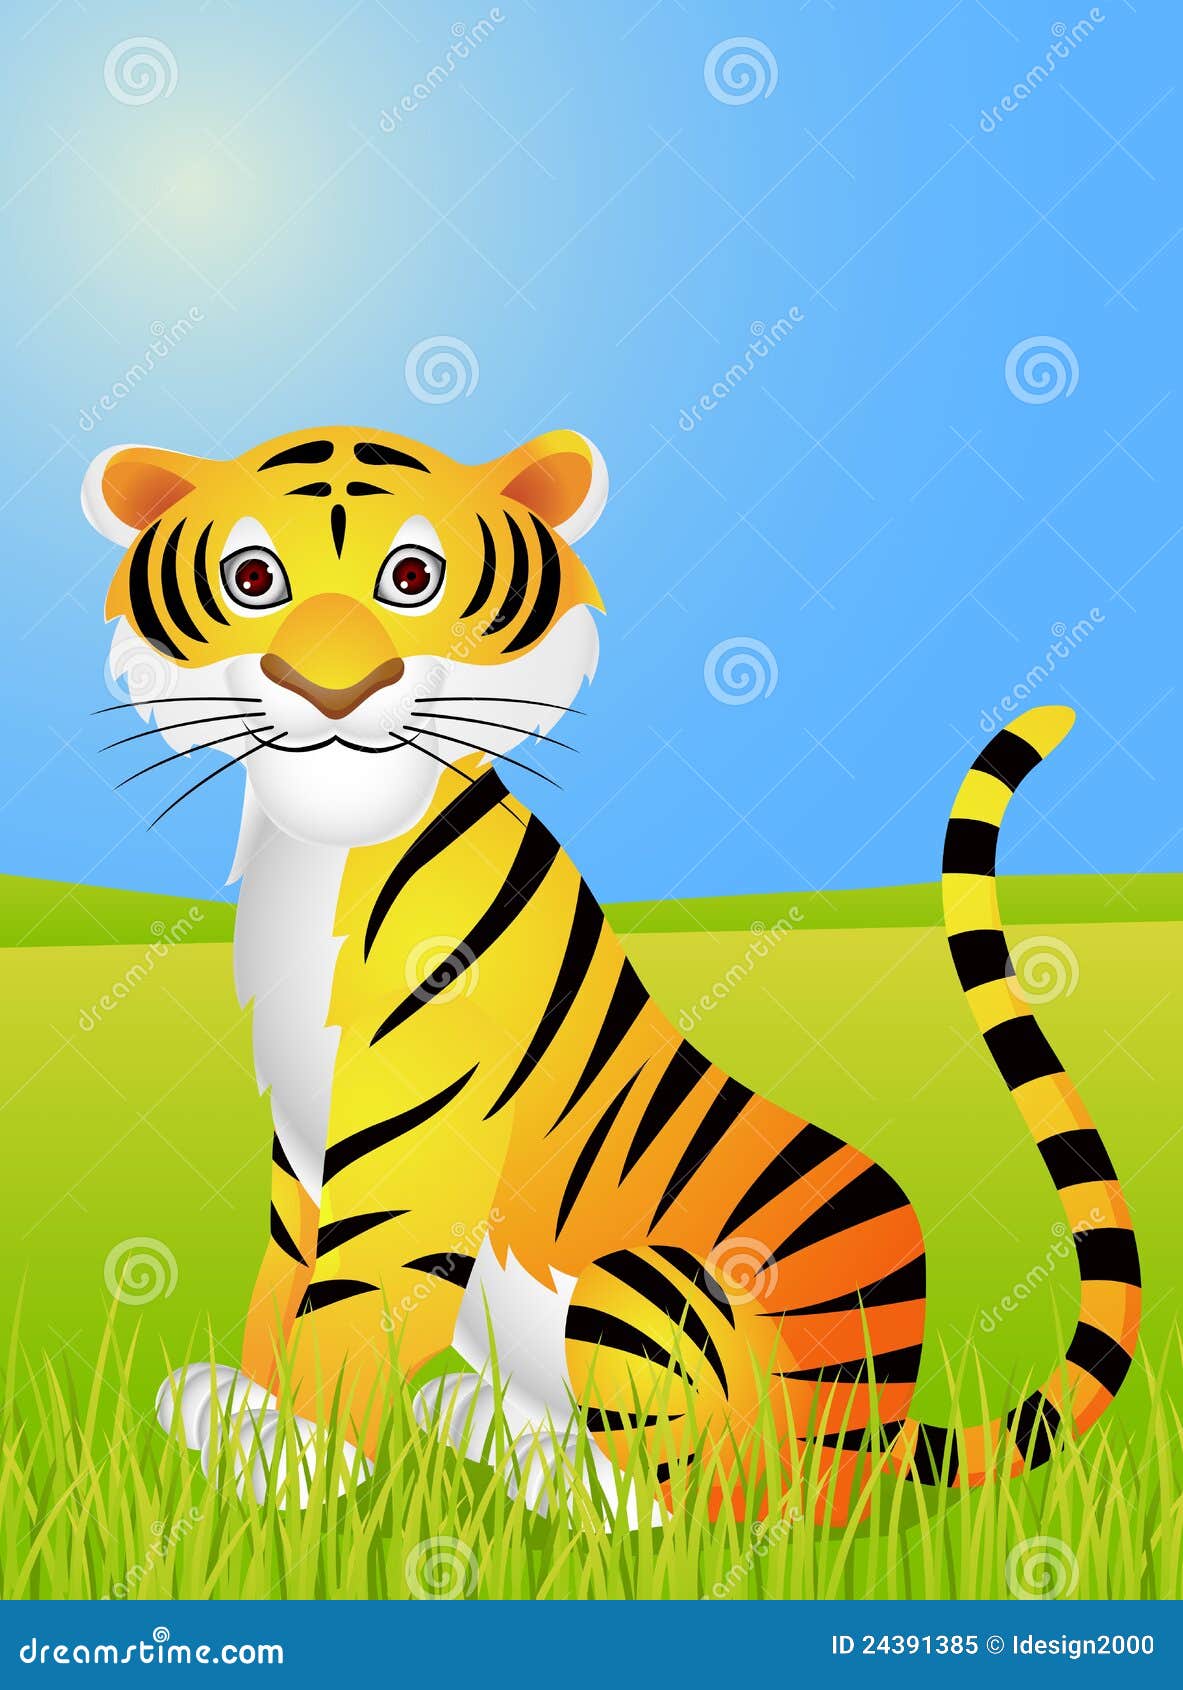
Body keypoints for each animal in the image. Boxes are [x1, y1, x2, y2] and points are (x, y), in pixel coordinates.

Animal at [82, 426, 1141, 1525]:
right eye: (253, 578)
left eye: (411, 577)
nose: (332, 690)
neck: (326, 843)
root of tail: (880, 1427)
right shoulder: (304, 1133)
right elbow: (285, 1270)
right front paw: (246, 1408)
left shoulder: (419, 1130)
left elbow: (357, 1284)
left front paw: (300, 1451)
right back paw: (483, 1420)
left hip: (653, 1293)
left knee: (709, 1509)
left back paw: (555, 1476)